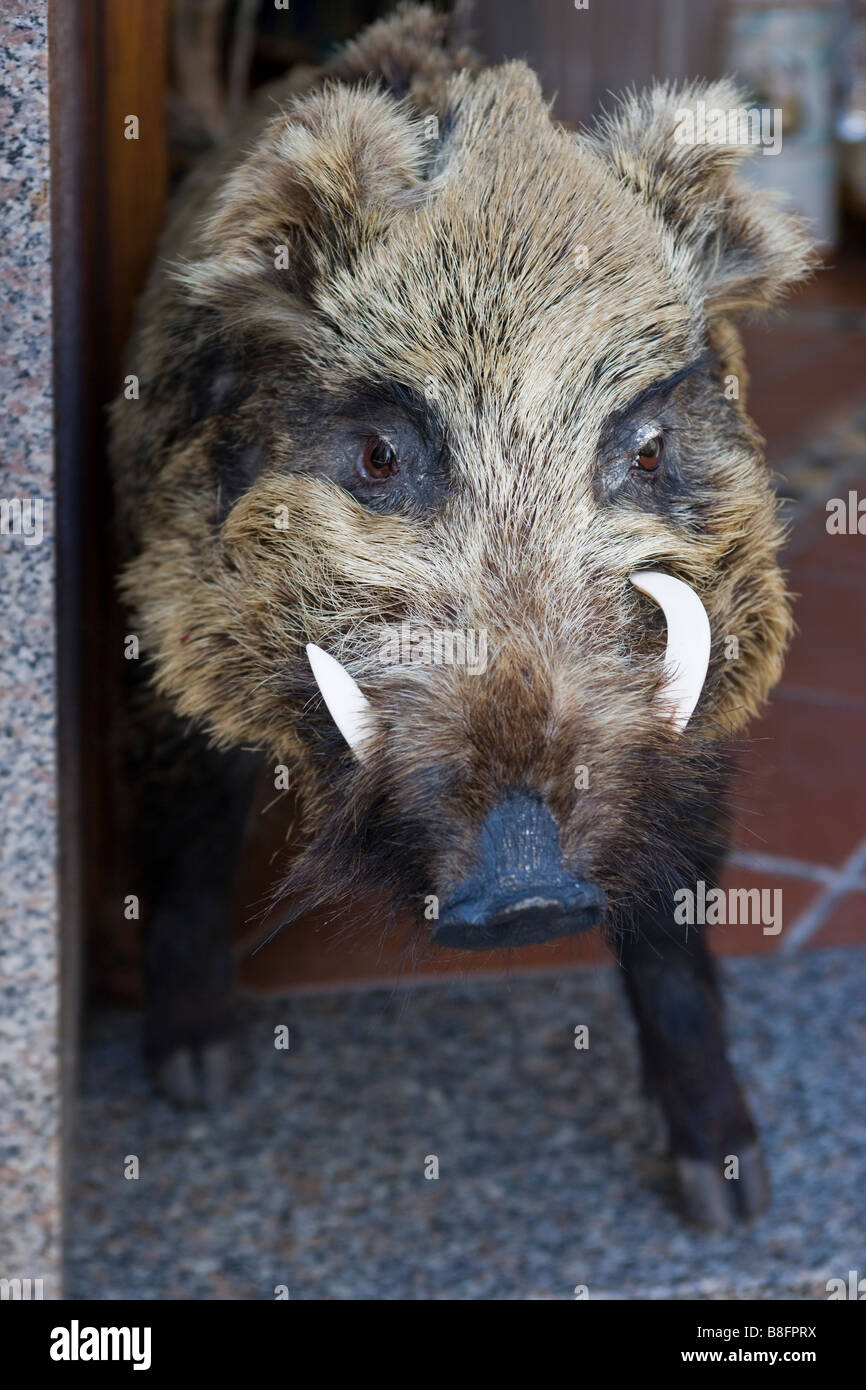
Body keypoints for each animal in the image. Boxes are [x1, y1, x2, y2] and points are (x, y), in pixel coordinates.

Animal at [111, 2, 815, 1229]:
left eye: (644, 450)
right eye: (379, 455)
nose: (525, 891)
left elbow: (675, 916)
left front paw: (730, 1198)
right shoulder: (161, 639)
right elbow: (187, 838)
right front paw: (200, 1084)